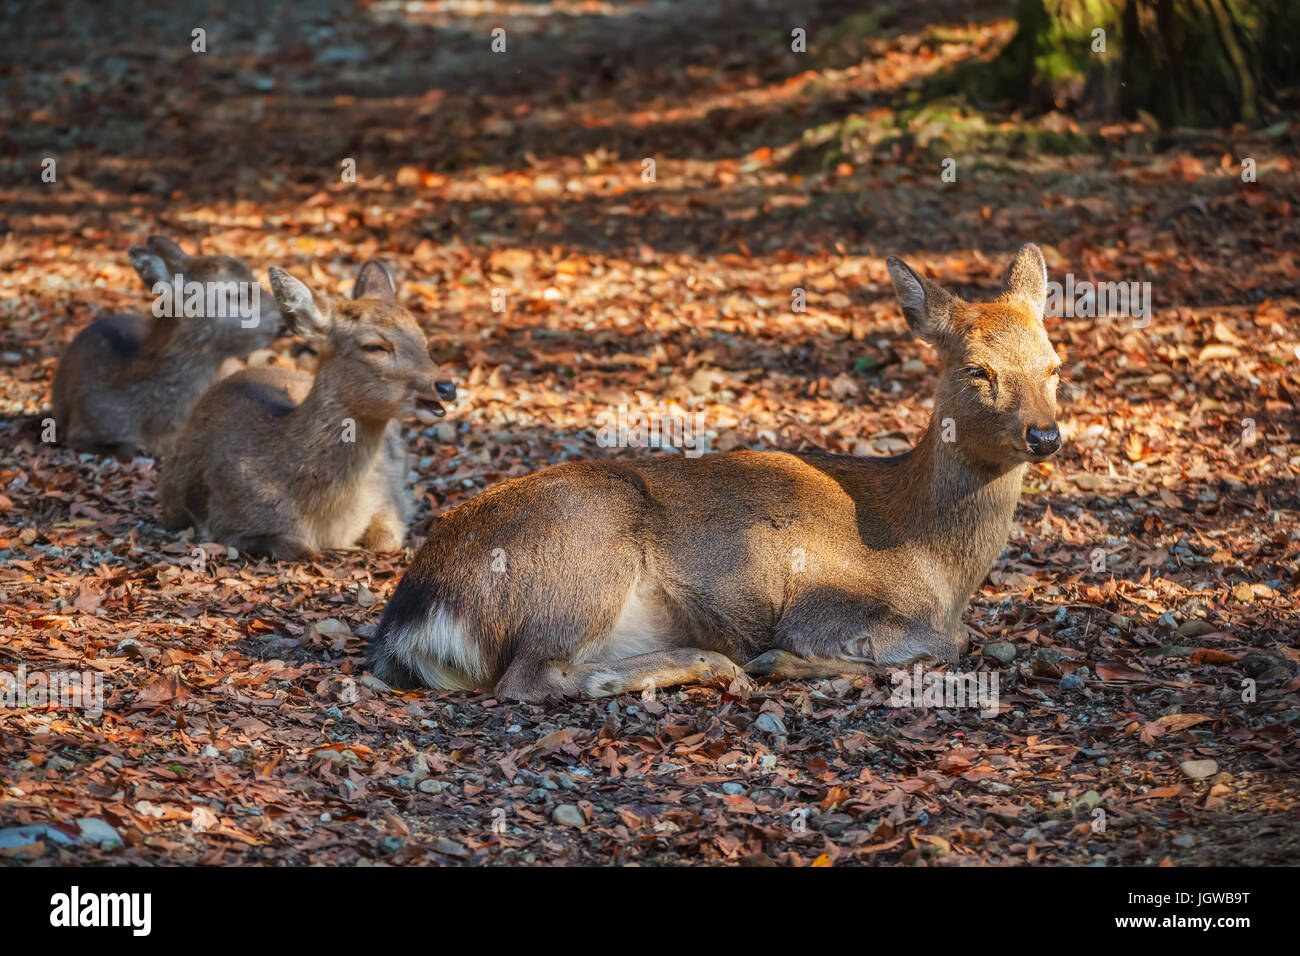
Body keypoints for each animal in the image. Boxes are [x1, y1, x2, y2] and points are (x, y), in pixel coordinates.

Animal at [157, 260, 456, 560]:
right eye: (374, 346)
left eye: (423, 341)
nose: (446, 387)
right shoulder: (225, 519)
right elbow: (302, 548)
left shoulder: (389, 494)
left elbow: (386, 540)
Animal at [366, 243, 1063, 702]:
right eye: (976, 368)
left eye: (1055, 364)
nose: (1045, 434)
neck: (934, 560)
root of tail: (412, 616)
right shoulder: (824, 607)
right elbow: (946, 644)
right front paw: (782, 661)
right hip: (584, 551)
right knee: (529, 680)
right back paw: (712, 664)